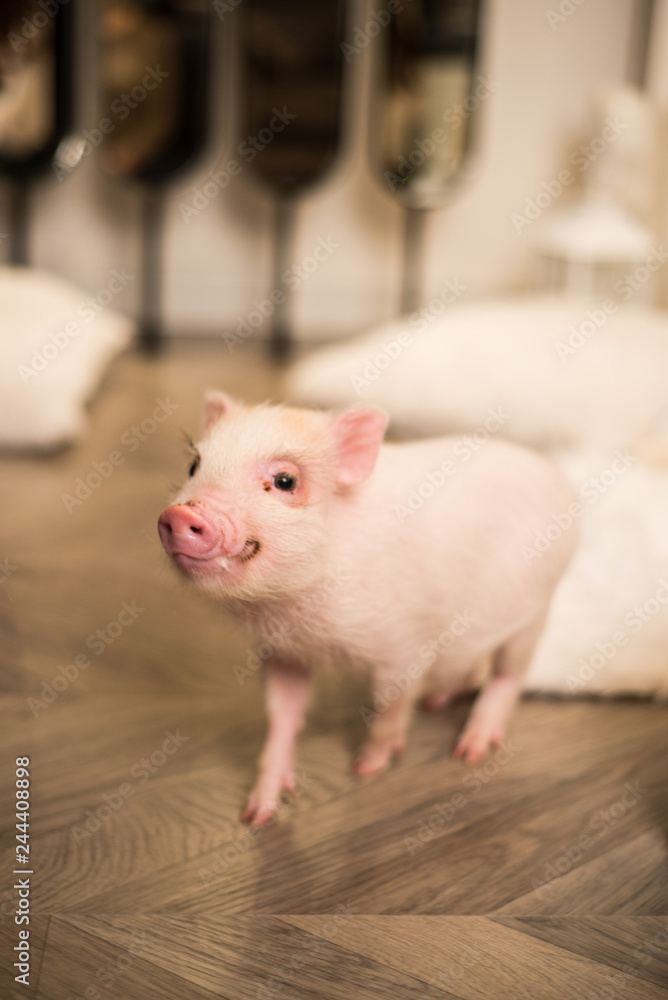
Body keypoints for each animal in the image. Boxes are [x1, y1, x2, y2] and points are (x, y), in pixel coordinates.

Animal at [158, 392, 578, 825]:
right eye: (194, 466)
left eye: (285, 481)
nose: (180, 514)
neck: (300, 611)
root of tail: (562, 483)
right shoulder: (284, 651)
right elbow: (282, 714)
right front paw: (257, 815)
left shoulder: (406, 644)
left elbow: (390, 705)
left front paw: (366, 768)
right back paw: (436, 703)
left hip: (537, 607)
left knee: (509, 675)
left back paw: (469, 750)